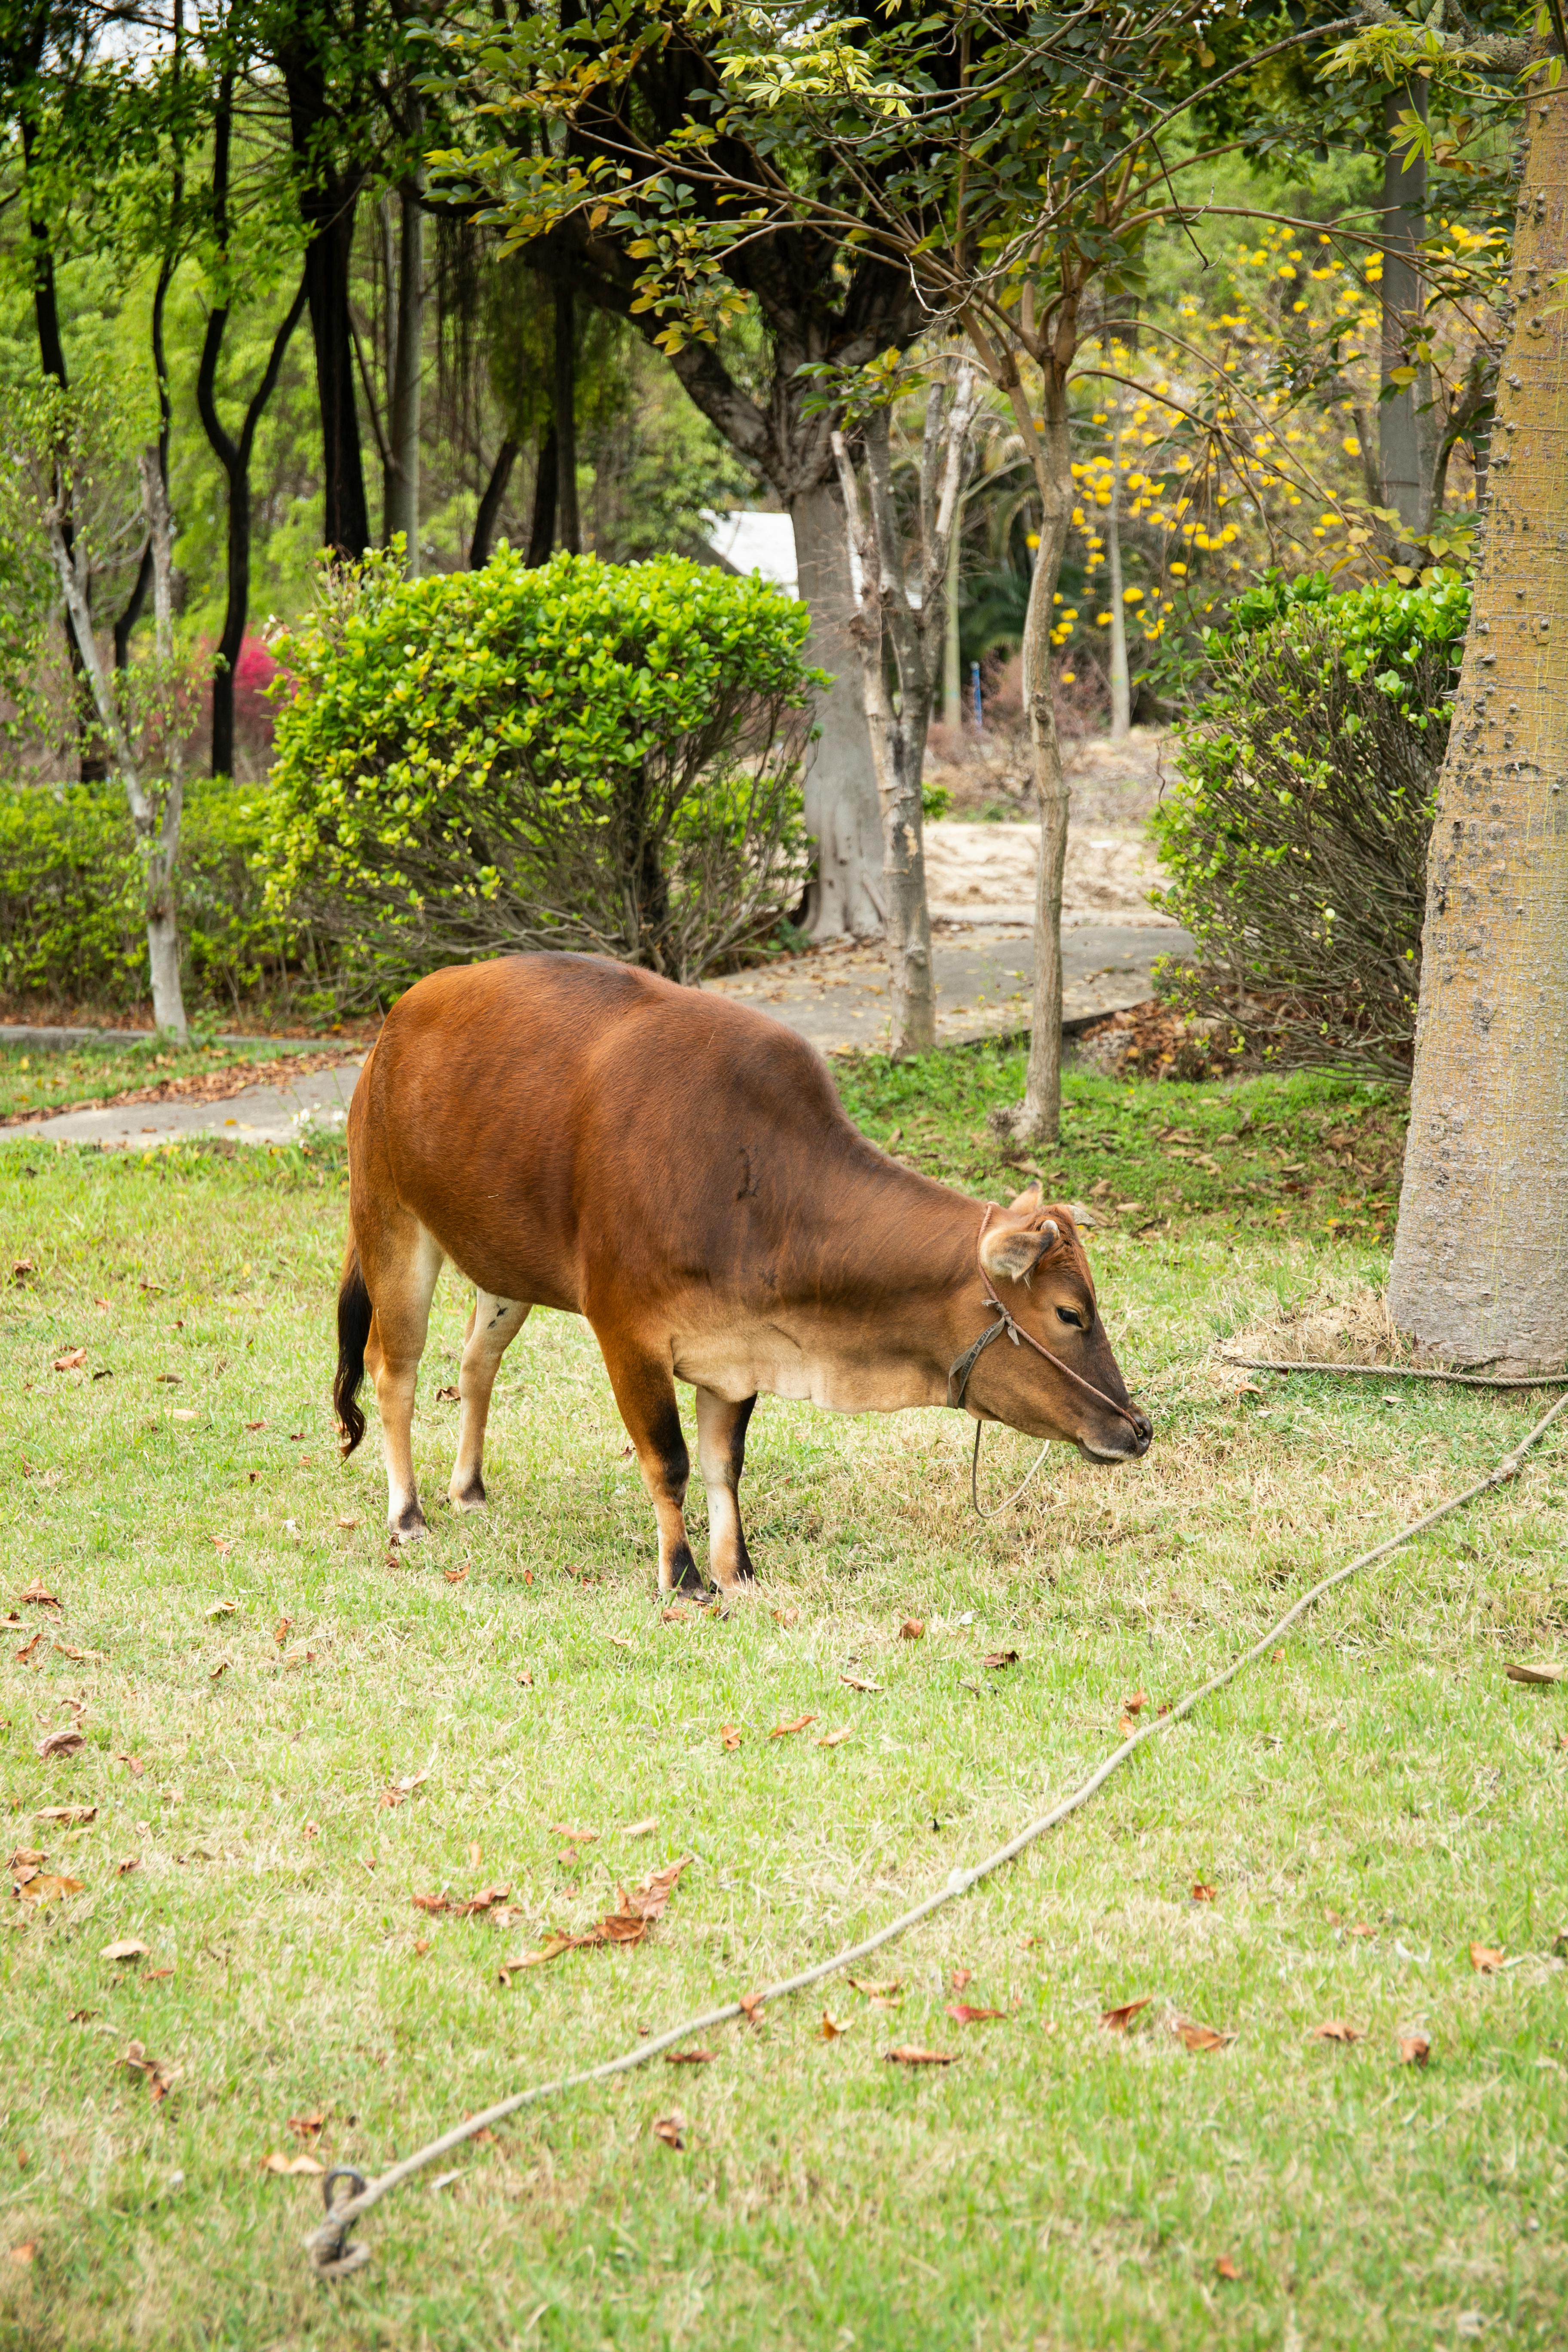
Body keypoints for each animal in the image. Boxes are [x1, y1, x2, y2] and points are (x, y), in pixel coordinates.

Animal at [333, 955, 1151, 1591]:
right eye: (1070, 1313)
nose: (1136, 1429)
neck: (756, 1183)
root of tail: (395, 1023)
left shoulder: (738, 1350)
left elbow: (724, 1464)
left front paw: (738, 1568)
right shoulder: (626, 1333)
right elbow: (668, 1460)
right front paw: (684, 1575)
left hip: (500, 1266)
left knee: (476, 1362)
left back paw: (468, 1488)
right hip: (391, 1224)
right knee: (393, 1369)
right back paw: (408, 1513)